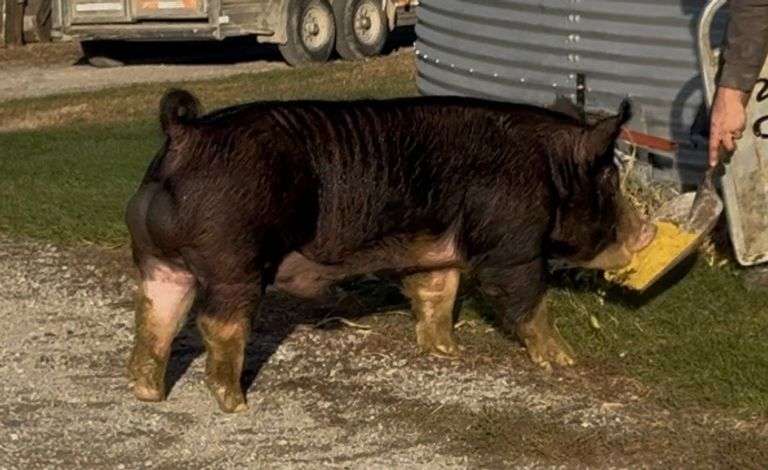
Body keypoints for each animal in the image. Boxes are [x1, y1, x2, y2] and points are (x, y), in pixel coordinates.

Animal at [124, 89, 655, 413]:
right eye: (609, 180)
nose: (647, 233)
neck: (550, 169)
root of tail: (185, 136)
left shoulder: (433, 252)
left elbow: (437, 293)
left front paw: (447, 352)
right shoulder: (512, 246)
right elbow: (526, 299)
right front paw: (565, 361)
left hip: (157, 260)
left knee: (155, 314)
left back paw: (148, 393)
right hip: (234, 260)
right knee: (217, 323)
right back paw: (237, 403)